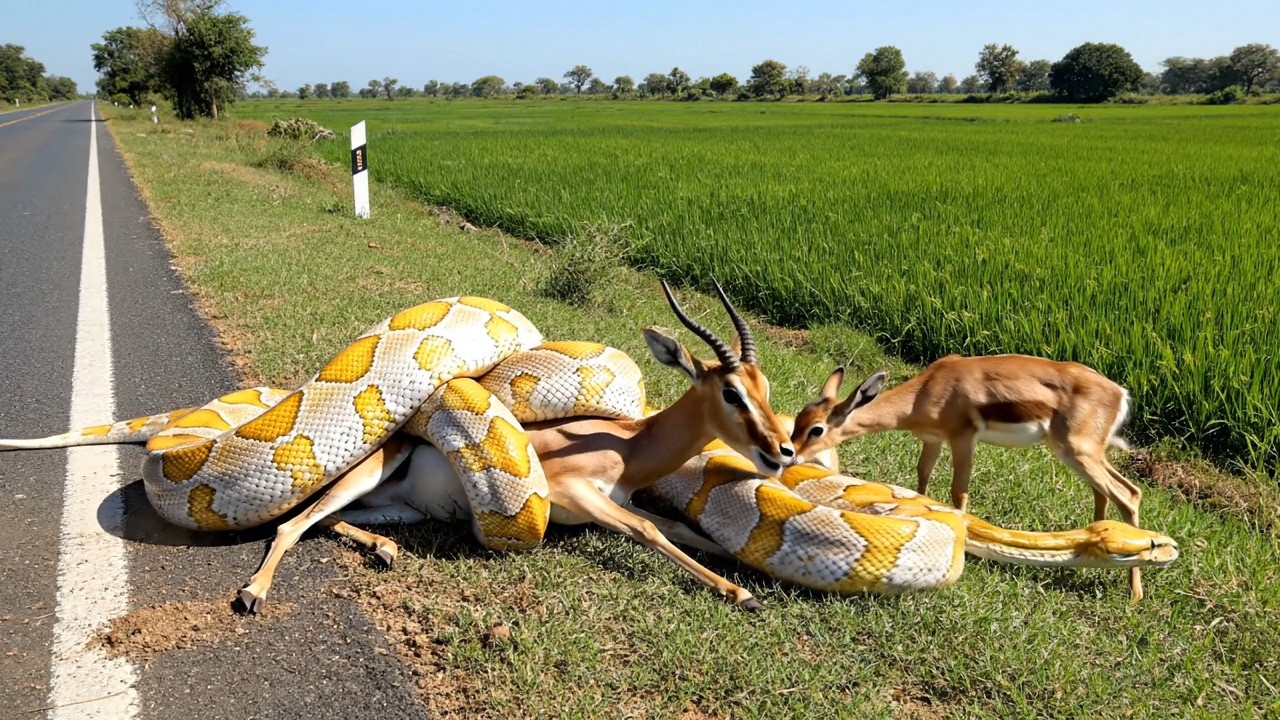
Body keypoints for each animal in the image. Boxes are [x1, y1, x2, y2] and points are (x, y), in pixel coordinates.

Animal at [237, 279, 796, 612]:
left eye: (766, 388)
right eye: (731, 393)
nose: (782, 451)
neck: (630, 447)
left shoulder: (619, 500)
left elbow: (682, 529)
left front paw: (752, 577)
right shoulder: (573, 493)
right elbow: (648, 531)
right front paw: (739, 593)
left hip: (400, 507)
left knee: (328, 519)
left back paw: (384, 549)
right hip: (370, 469)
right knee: (295, 521)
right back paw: (252, 592)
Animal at [788, 354, 1149, 600]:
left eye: (817, 429)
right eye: (799, 419)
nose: (788, 455)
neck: (928, 390)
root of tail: (1120, 393)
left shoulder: (962, 439)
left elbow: (958, 491)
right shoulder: (932, 439)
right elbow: (922, 478)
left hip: (1080, 452)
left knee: (1129, 494)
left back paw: (1135, 593)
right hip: (1081, 455)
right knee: (1107, 493)